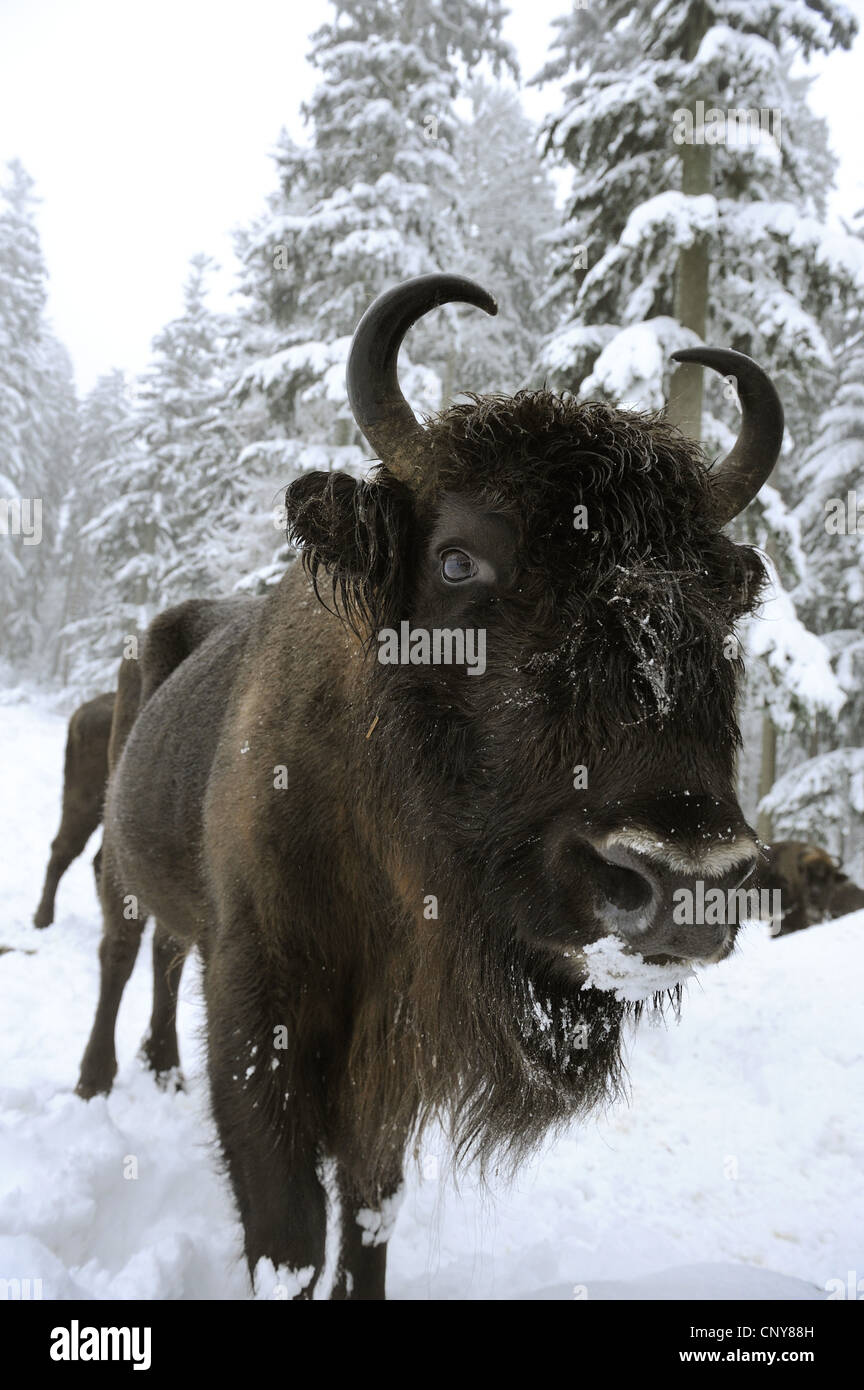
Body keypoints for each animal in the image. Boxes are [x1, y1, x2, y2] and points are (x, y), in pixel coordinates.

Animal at [75, 274, 783, 1299]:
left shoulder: (395, 1053)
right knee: (121, 949)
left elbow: (372, 1203)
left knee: (164, 954)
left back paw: (161, 1068)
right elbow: (289, 1230)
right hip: (120, 867)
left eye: (719, 592)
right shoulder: (261, 1005)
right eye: (457, 559)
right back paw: (96, 1082)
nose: (684, 876)